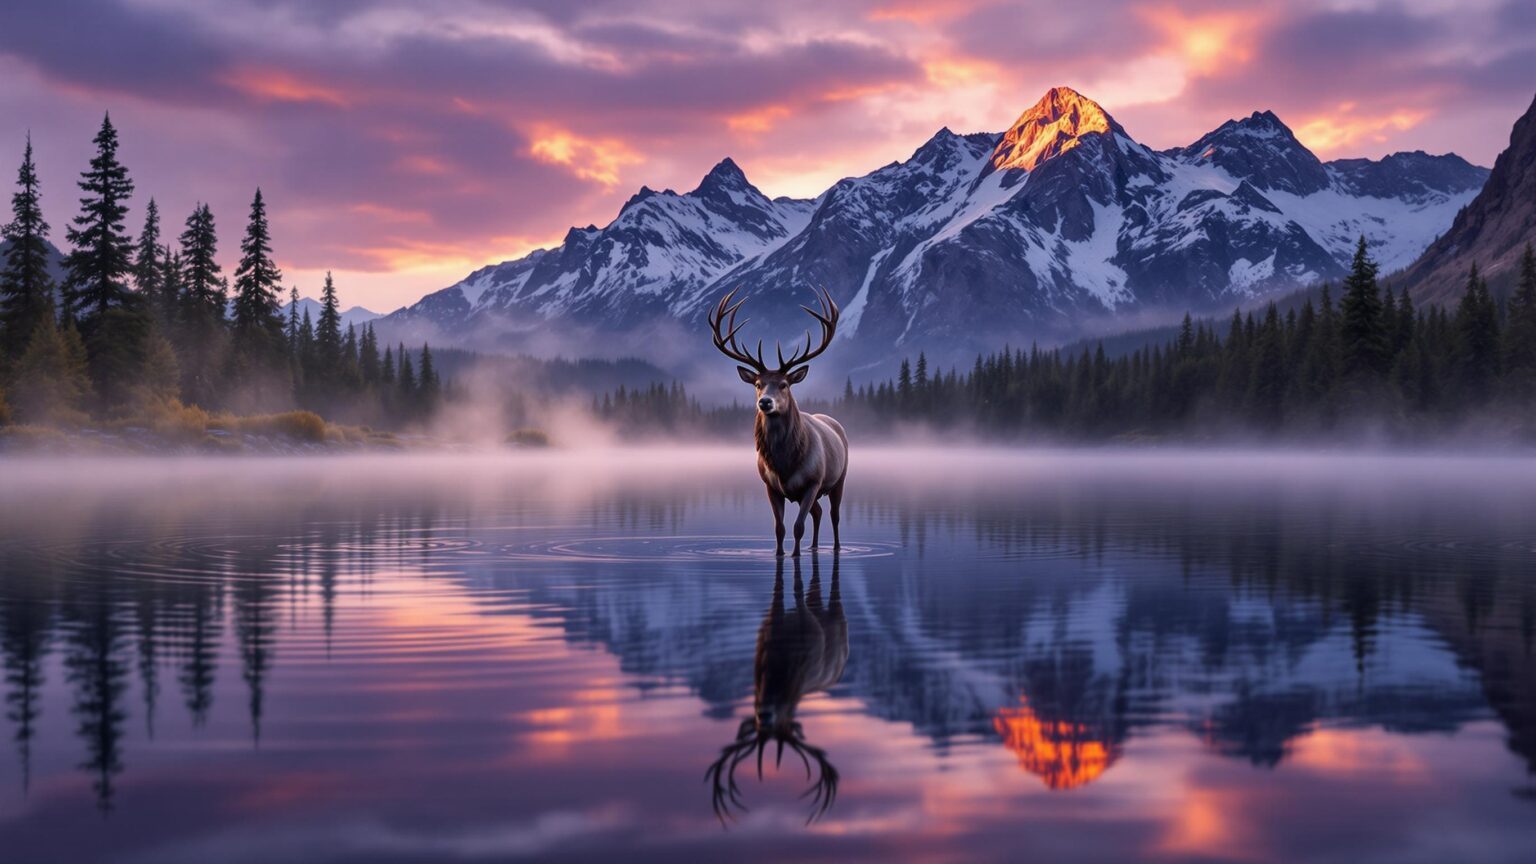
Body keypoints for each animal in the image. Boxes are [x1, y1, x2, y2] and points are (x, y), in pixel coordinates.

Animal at [706, 554, 847, 824]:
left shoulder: (802, 626)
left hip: (836, 617)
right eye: (758, 726)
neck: (775, 672)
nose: (765, 715)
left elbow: (797, 581)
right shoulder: (770, 627)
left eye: (784, 725)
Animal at [708, 287, 848, 557]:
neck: (785, 463)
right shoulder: (770, 486)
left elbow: (797, 526)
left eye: (784, 384)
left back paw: (836, 547)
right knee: (819, 513)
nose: (765, 402)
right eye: (757, 384)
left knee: (834, 515)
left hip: (839, 478)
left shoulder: (813, 481)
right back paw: (814, 547)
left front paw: (795, 555)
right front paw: (780, 554)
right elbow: (779, 528)